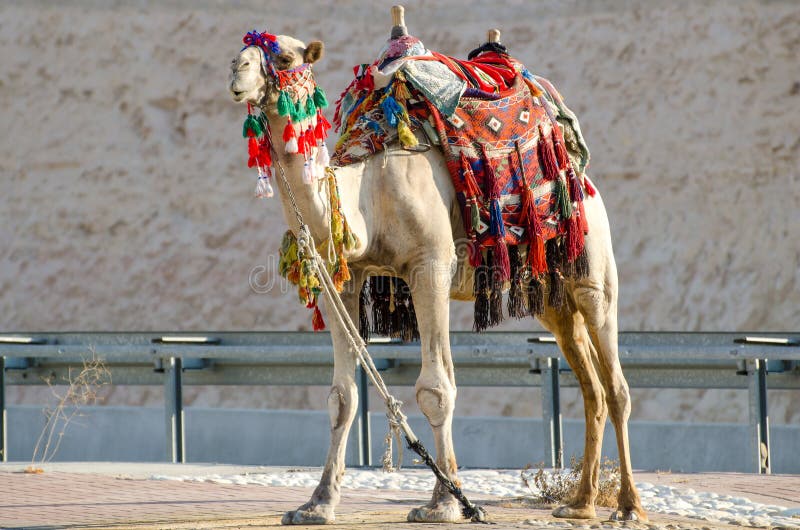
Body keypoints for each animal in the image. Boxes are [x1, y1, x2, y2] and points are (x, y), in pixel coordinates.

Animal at [228, 25, 647, 526]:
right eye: (240, 52)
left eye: (286, 56)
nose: (238, 73)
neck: (366, 195)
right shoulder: (342, 277)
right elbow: (341, 397)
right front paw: (317, 503)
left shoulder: (429, 266)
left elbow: (435, 388)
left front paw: (446, 503)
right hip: (551, 297)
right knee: (592, 389)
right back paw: (580, 503)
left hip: (592, 271)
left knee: (617, 385)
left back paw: (627, 507)